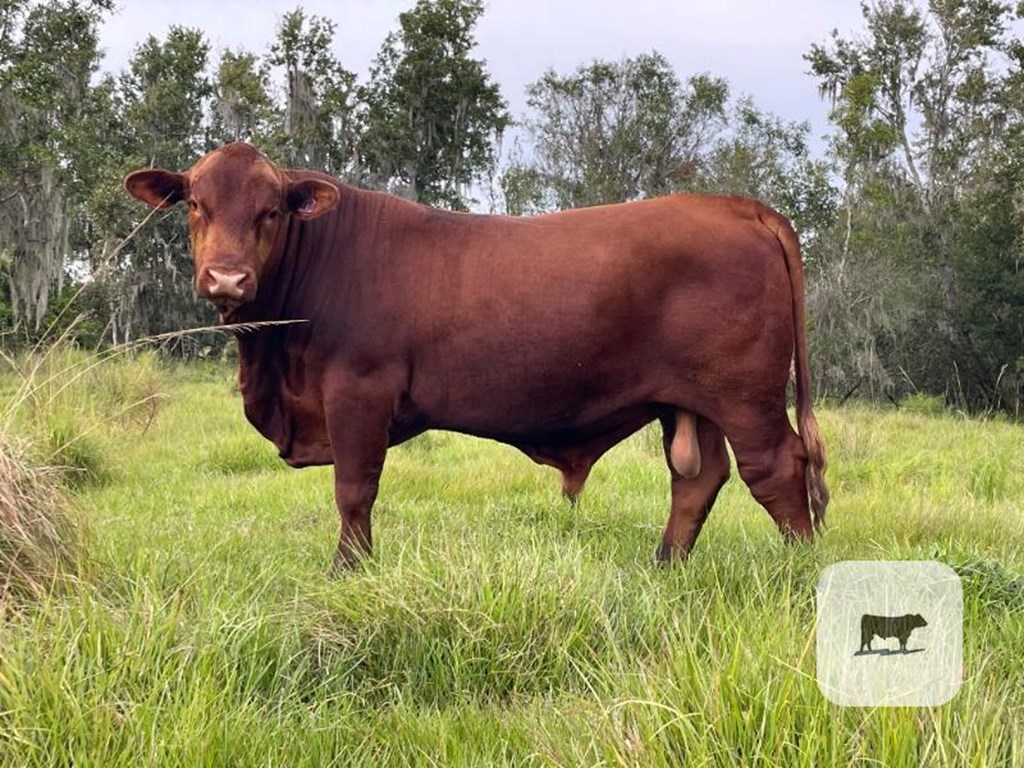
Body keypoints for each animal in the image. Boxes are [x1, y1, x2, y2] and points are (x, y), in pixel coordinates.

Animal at [124, 142, 829, 571]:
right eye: (195, 204)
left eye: (270, 210)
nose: (226, 278)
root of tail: (738, 206)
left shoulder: (358, 392)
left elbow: (354, 490)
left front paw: (348, 573)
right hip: (689, 400)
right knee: (698, 479)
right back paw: (664, 569)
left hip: (745, 397)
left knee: (777, 470)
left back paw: (802, 574)